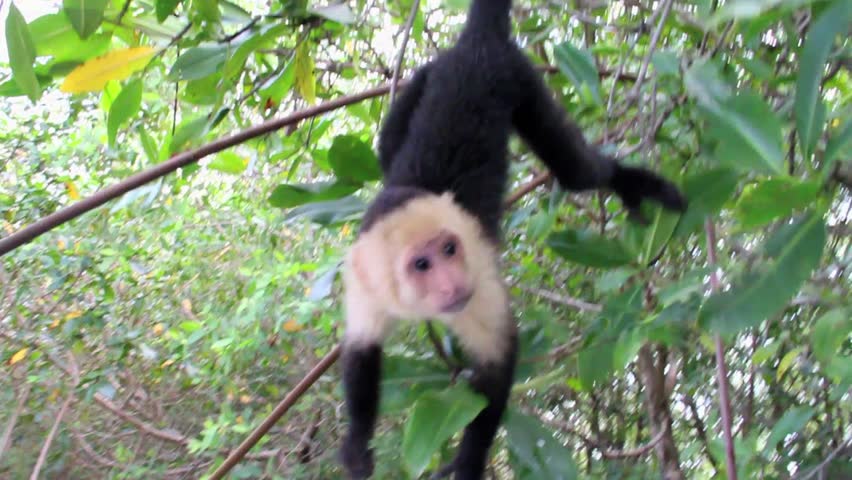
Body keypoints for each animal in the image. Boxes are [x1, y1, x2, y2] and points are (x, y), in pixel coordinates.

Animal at [339, 0, 687, 479]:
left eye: (450, 249)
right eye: (421, 264)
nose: (452, 284)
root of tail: (475, 47)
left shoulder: (477, 281)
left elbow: (498, 363)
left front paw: (468, 462)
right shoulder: (366, 282)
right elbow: (361, 350)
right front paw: (357, 443)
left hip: (517, 76)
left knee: (576, 172)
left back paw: (626, 180)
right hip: (432, 72)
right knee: (387, 145)